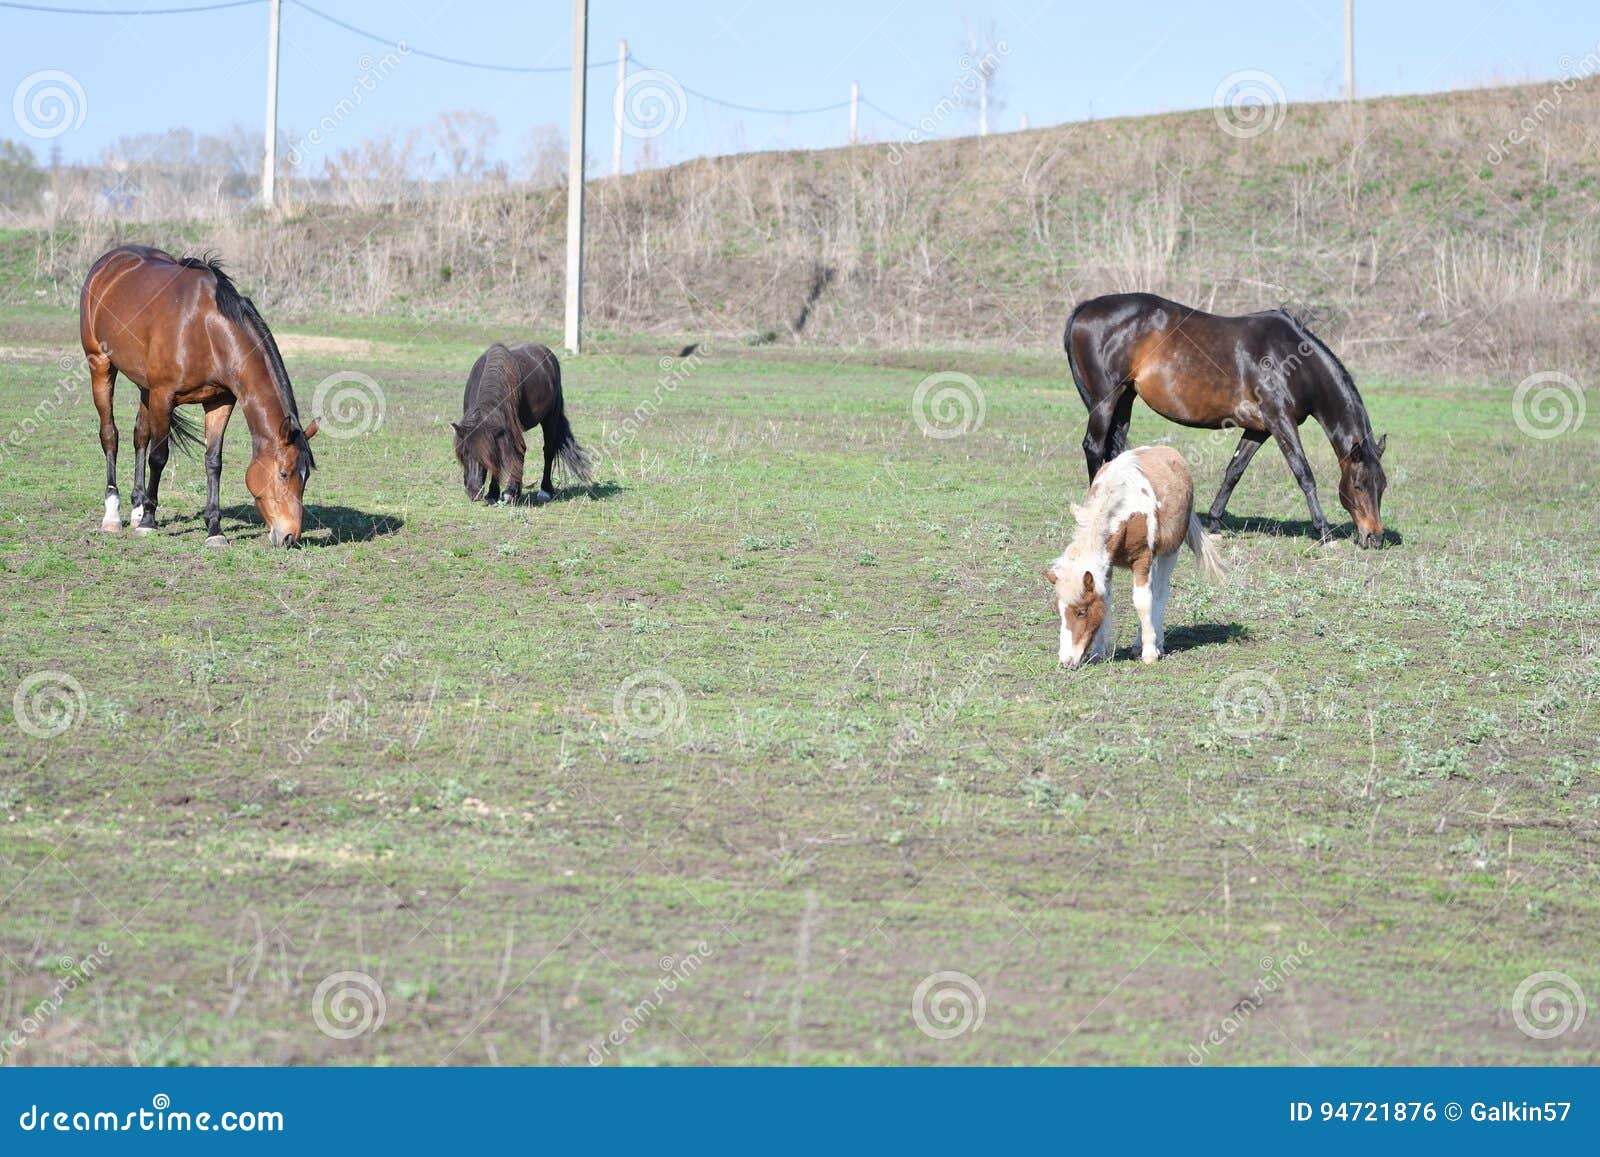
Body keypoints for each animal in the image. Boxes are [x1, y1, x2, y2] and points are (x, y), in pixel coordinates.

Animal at [79, 245, 318, 547]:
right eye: (284, 473)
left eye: (305, 477)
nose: (289, 536)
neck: (205, 329)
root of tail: (110, 260)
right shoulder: (163, 395)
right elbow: (159, 456)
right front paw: (148, 522)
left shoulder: (220, 401)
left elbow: (213, 461)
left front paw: (214, 529)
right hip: (101, 365)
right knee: (110, 435)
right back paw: (113, 515)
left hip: (145, 388)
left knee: (140, 436)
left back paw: (137, 507)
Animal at [452, 342, 593, 504]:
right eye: (463, 453)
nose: (474, 492)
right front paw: (494, 494)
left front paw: (506, 493)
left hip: (550, 418)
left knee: (548, 451)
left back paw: (545, 490)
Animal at [1045, 445, 1224, 667]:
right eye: (1060, 611)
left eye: (1081, 611)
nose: (1066, 660)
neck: (1123, 508)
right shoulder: (1106, 566)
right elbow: (1107, 600)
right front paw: (1099, 653)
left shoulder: (1142, 559)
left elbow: (1142, 601)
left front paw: (1150, 654)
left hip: (1169, 552)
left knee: (1160, 592)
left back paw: (1157, 644)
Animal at [1065, 292, 1388, 548]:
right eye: (1358, 485)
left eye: (1382, 486)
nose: (1374, 537)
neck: (1290, 360)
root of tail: (1086, 307)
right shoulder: (1280, 421)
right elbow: (1303, 473)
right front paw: (1323, 532)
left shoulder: (1259, 429)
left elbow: (1234, 471)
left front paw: (1215, 523)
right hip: (1105, 400)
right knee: (1094, 447)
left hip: (1125, 398)